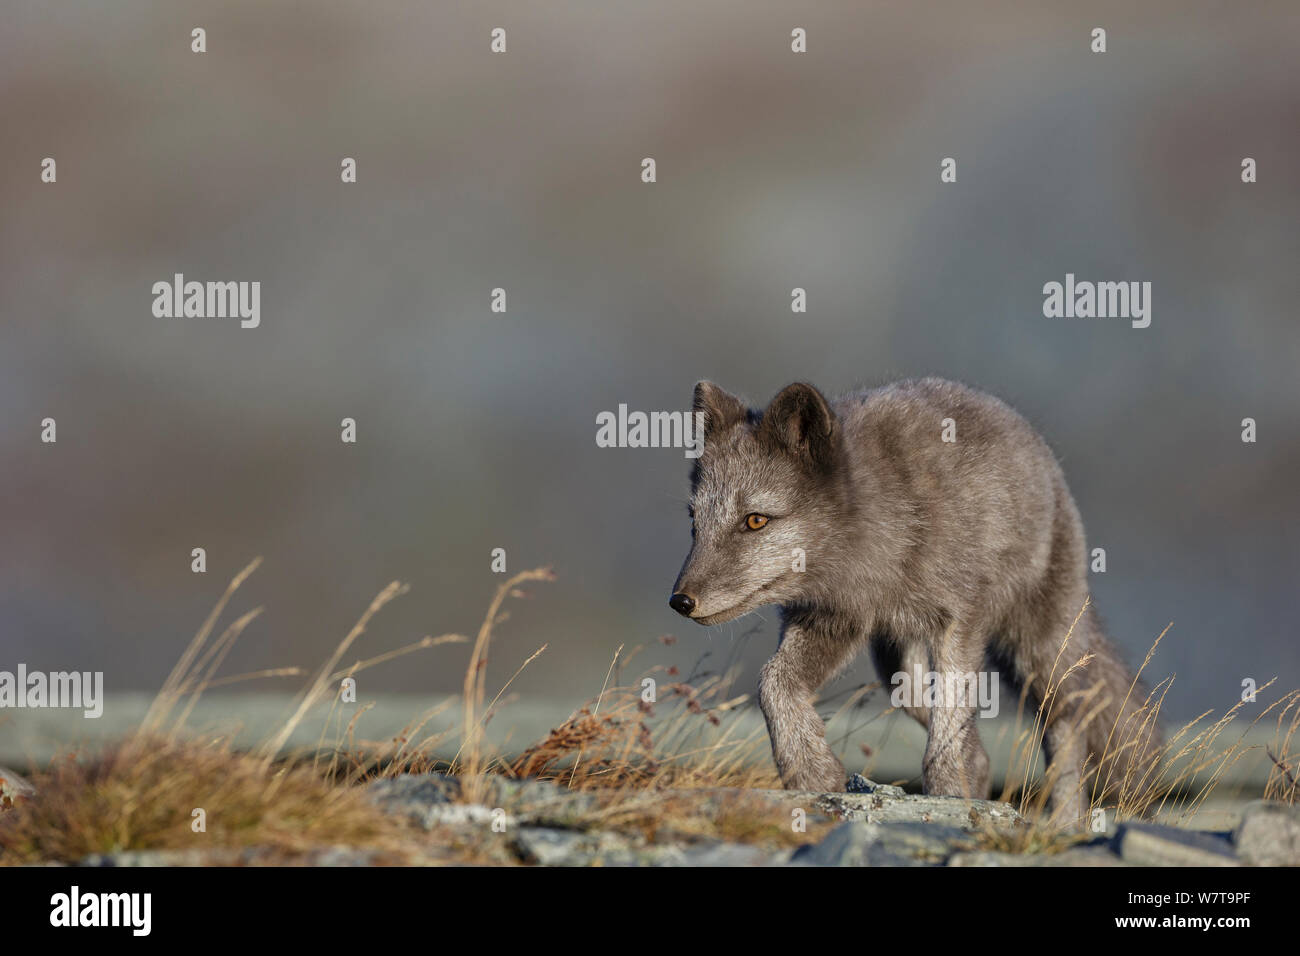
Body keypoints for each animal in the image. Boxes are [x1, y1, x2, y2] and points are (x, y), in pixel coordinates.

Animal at [668, 377, 1162, 824]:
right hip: (894, 658)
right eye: (694, 522)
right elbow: (773, 683)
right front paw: (812, 773)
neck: (888, 520)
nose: (680, 602)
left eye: (755, 520)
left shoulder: (960, 621)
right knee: (920, 702)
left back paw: (1065, 821)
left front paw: (948, 796)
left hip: (1037, 649)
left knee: (1071, 716)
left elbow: (951, 714)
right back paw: (980, 769)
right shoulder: (832, 618)